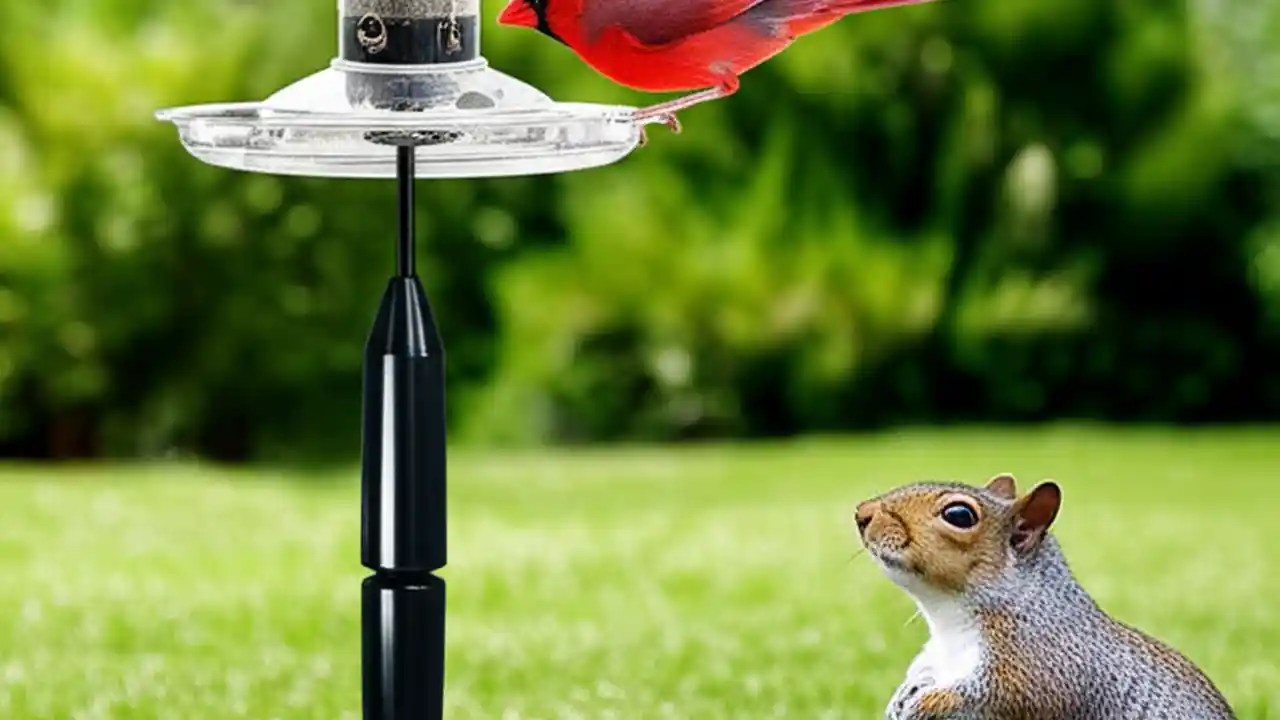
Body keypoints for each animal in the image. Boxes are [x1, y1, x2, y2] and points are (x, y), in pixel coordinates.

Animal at [853, 474, 1235, 720]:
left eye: (958, 515)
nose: (862, 513)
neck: (949, 618)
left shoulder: (1042, 663)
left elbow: (999, 694)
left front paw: (927, 703)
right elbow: (922, 670)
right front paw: (901, 697)